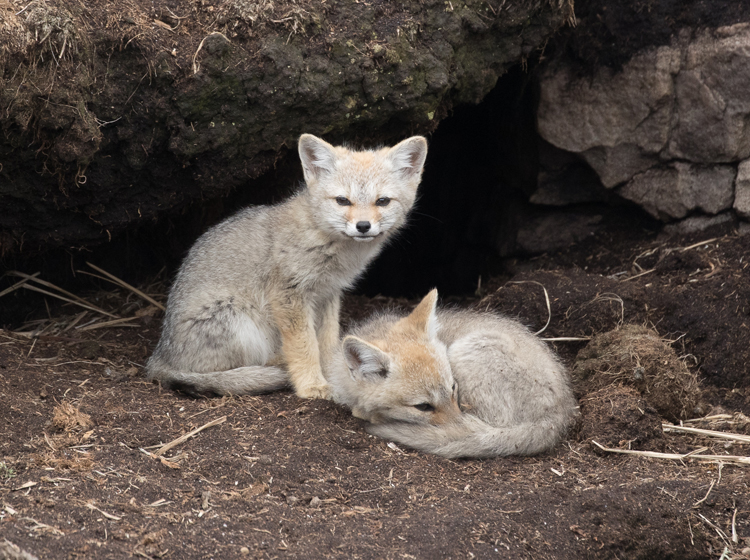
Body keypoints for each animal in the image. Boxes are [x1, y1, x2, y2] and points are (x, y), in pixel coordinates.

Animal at [145, 133, 428, 399]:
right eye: (342, 201)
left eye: (382, 201)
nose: (363, 226)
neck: (322, 237)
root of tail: (158, 357)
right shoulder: (289, 295)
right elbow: (305, 346)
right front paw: (312, 384)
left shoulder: (328, 294)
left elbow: (327, 340)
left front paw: (333, 371)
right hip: (240, 322)